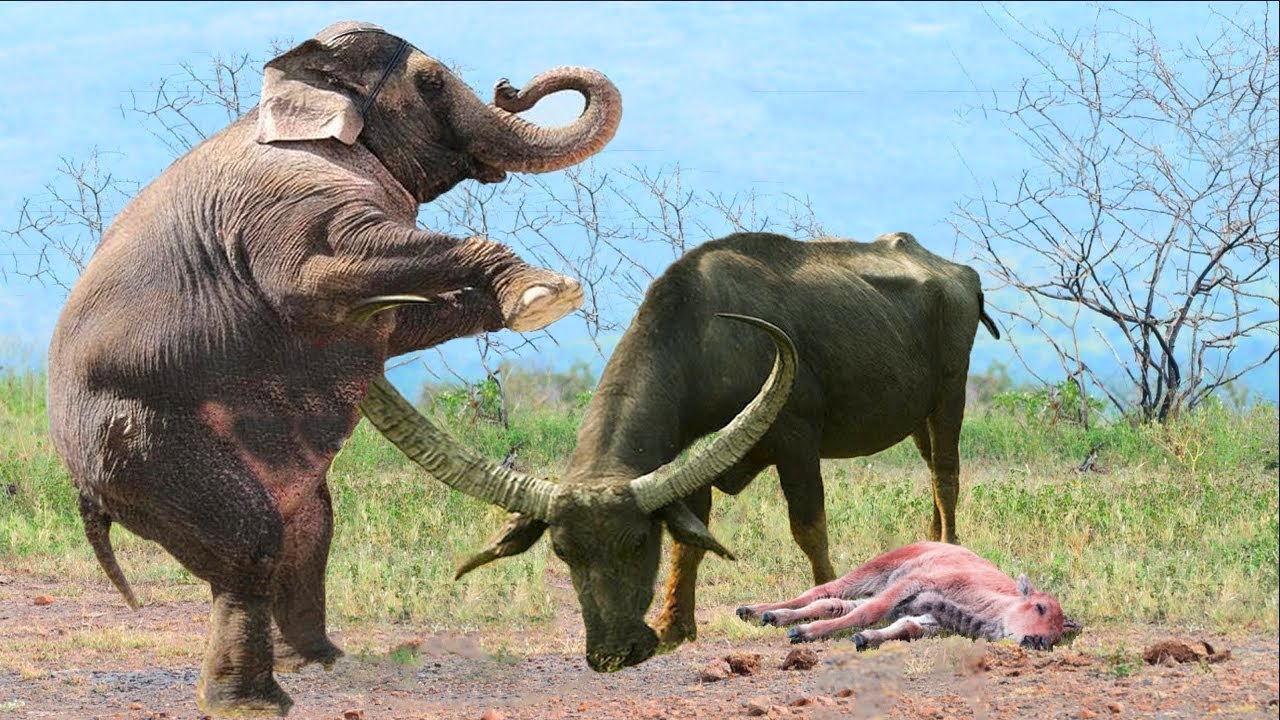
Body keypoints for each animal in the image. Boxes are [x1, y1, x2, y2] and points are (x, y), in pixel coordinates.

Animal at [45, 20, 621, 717]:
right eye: (431, 83)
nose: (512, 86)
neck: (296, 94)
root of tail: (82, 488)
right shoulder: (285, 203)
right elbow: (319, 273)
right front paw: (545, 295)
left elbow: (392, 326)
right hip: (139, 445)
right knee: (250, 543)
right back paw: (253, 702)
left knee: (308, 530)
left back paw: (318, 665)